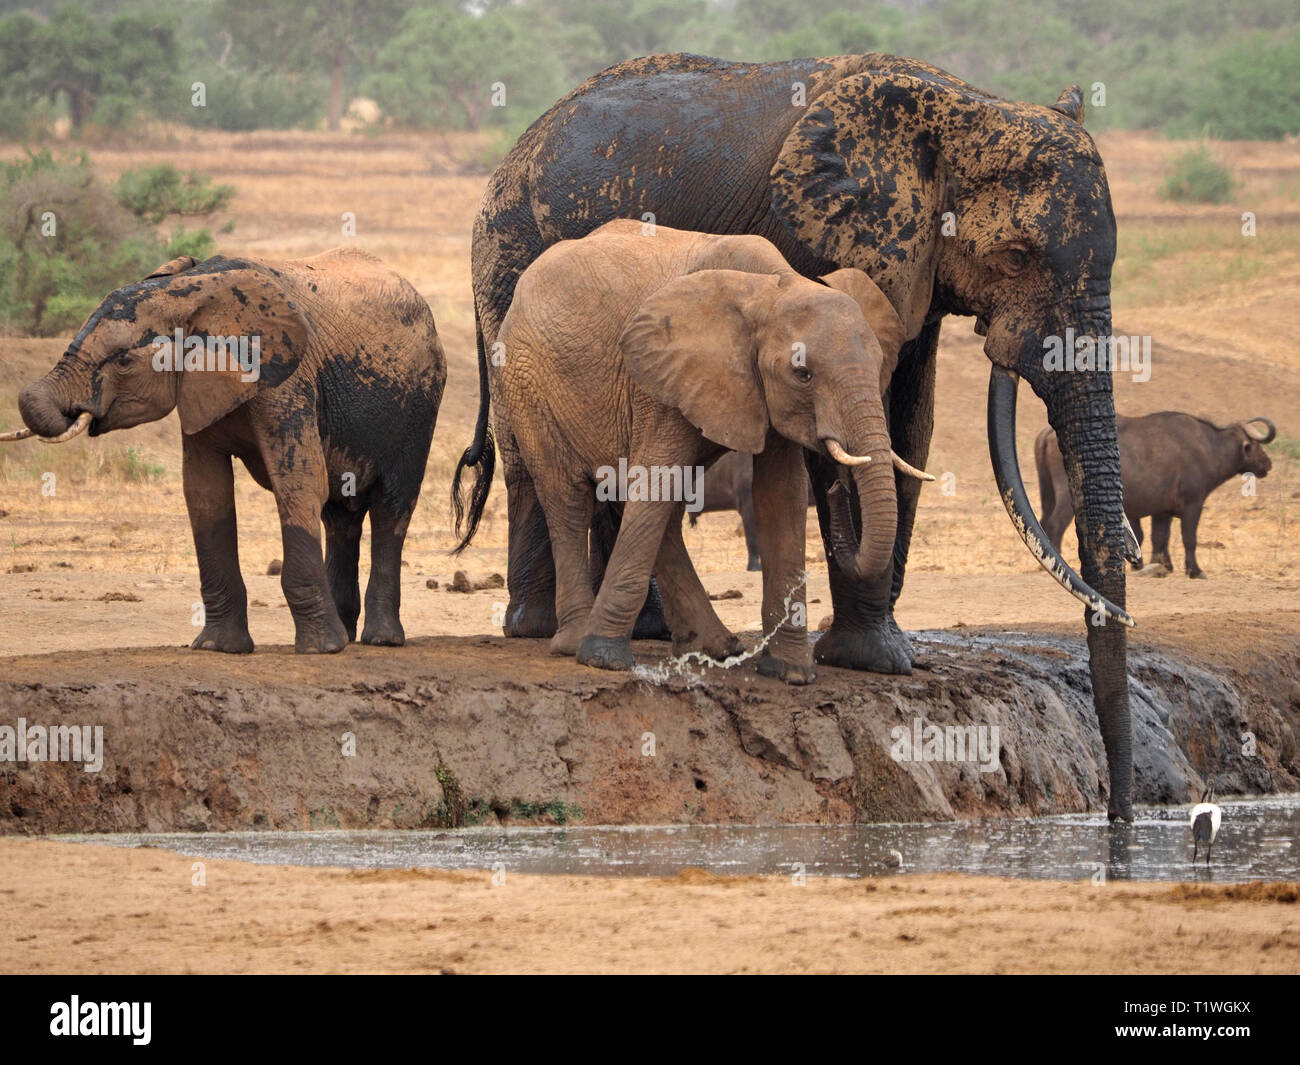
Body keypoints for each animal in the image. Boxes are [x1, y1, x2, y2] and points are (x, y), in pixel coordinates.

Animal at [2, 248, 446, 654]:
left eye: (124, 360)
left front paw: (321, 650)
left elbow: (299, 482)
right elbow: (205, 492)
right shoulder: (197, 386)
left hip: (420, 403)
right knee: (340, 515)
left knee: (391, 506)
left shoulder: (286, 381)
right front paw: (219, 647)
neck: (186, 291)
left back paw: (380, 640)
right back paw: (350, 636)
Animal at [491, 219, 927, 682]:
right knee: (568, 496)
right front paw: (603, 658)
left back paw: (714, 648)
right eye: (803, 374)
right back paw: (577, 643)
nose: (836, 487)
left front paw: (790, 674)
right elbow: (657, 482)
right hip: (525, 380)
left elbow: (780, 496)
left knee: (650, 505)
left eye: (880, 366)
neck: (774, 286)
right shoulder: (666, 379)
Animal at [1036, 413, 1276, 578]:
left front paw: (1163, 566)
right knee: (1056, 524)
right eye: (1256, 446)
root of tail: (1048, 432)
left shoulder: (1162, 512)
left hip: (1047, 494)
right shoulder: (1193, 505)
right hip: (1067, 497)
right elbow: (1189, 538)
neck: (1209, 448)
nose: (1268, 464)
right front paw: (1195, 570)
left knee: (1043, 522)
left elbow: (1160, 537)